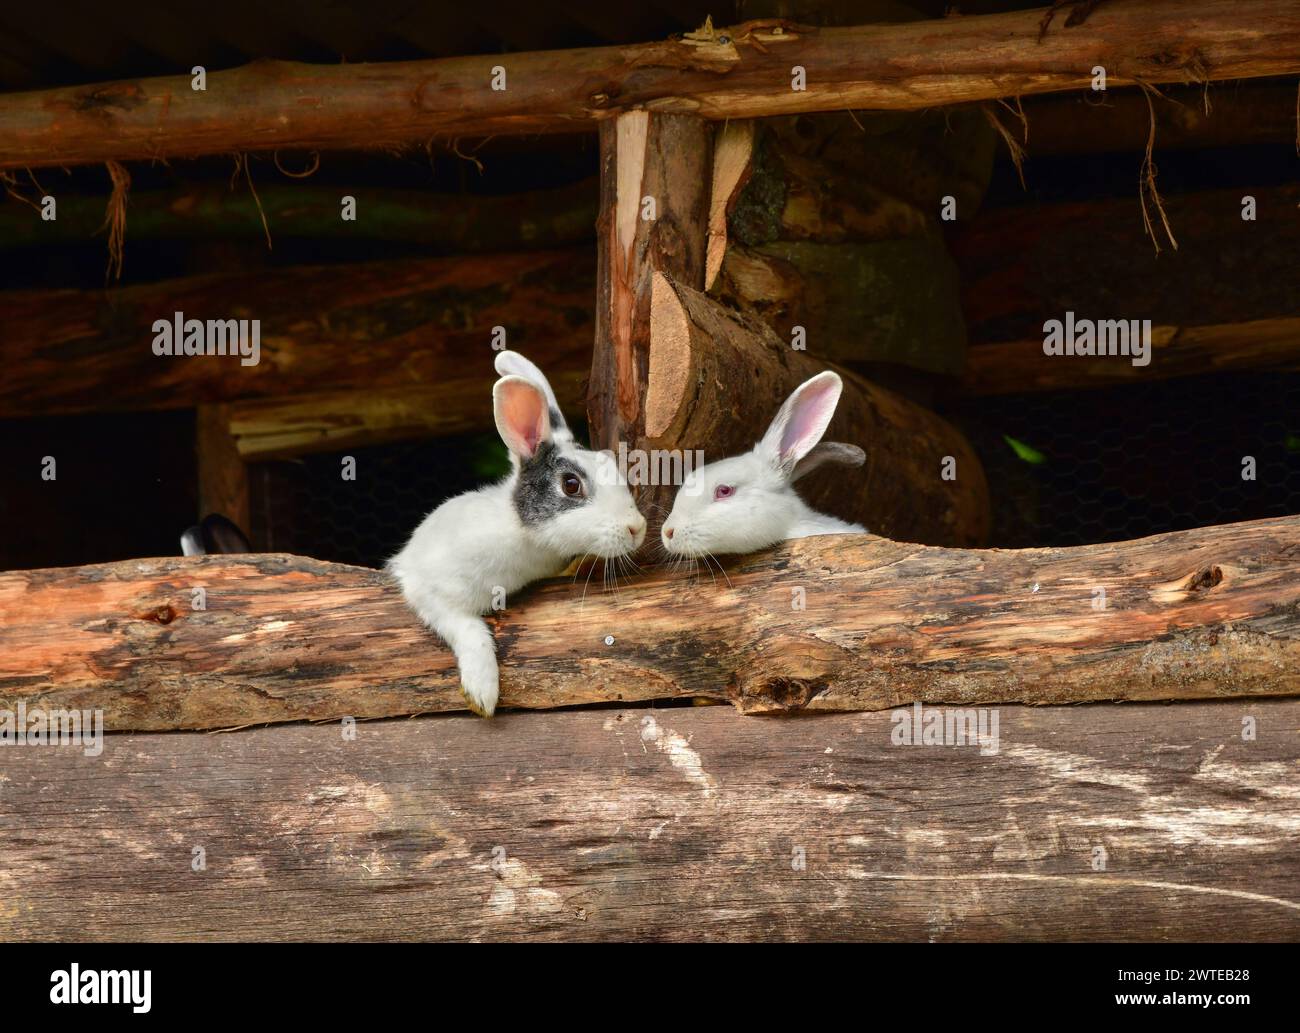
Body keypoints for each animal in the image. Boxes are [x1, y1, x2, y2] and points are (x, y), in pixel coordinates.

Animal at [389, 351, 647, 718]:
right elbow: (467, 628)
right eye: (571, 484)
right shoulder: (428, 589)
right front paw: (482, 694)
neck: (526, 540)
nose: (636, 527)